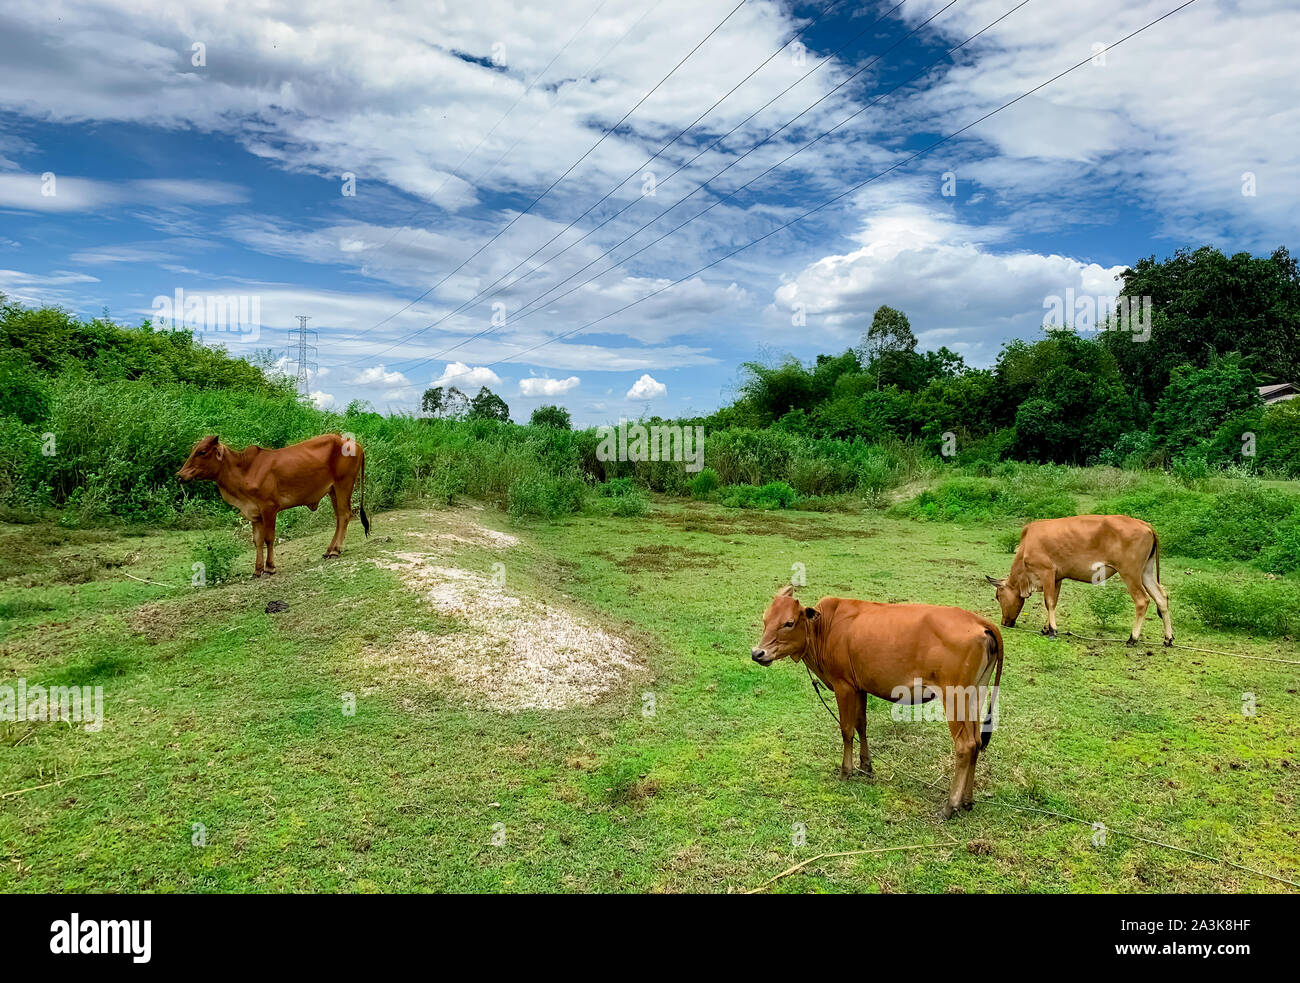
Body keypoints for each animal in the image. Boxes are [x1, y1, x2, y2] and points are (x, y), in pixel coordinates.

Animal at [177, 433, 369, 577]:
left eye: (202, 452)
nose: (180, 475)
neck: (243, 470)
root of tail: (354, 443)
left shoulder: (269, 508)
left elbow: (269, 538)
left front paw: (269, 567)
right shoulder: (254, 513)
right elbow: (257, 541)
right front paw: (257, 570)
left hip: (343, 484)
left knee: (344, 515)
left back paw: (335, 550)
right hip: (333, 490)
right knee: (339, 517)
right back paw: (329, 550)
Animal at [751, 586, 1003, 819]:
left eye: (789, 623)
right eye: (765, 619)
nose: (757, 653)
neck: (825, 628)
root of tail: (979, 621)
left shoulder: (844, 686)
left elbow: (846, 729)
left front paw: (846, 770)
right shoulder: (860, 687)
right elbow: (861, 725)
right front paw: (866, 765)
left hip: (954, 698)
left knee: (965, 745)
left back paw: (950, 805)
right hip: (975, 695)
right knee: (977, 742)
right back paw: (967, 800)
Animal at [985, 513, 1172, 646]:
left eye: (997, 596)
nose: (1004, 623)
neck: (1027, 546)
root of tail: (1145, 525)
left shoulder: (1047, 572)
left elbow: (1048, 601)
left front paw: (1052, 630)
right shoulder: (1057, 578)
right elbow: (1053, 602)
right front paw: (1046, 628)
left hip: (1130, 573)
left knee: (1142, 600)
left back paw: (1133, 638)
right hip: (1145, 572)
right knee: (1161, 597)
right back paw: (1168, 638)